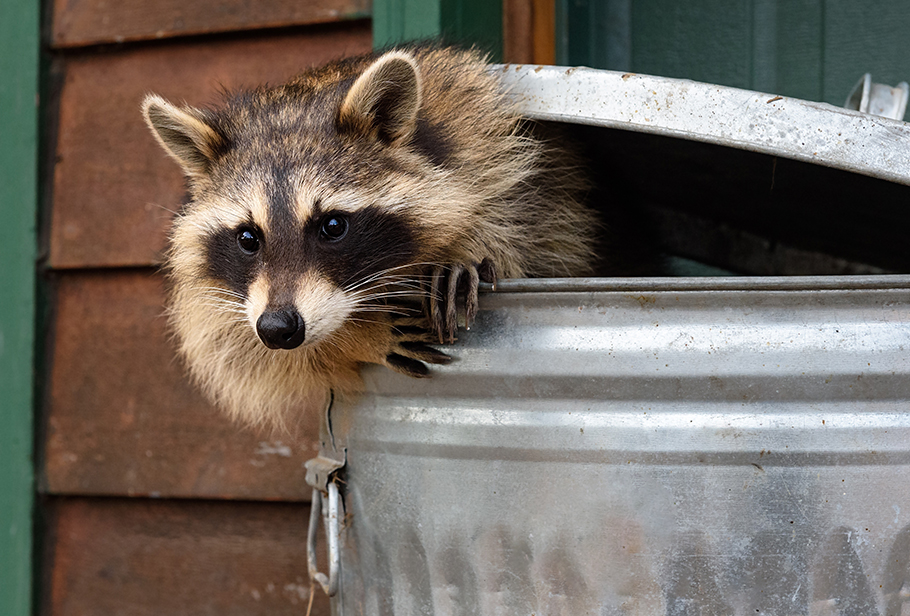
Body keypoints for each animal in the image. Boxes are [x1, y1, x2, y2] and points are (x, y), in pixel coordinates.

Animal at [142, 45, 600, 429]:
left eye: (332, 226)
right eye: (248, 238)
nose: (277, 328)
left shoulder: (494, 150)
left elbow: (527, 228)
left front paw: (466, 246)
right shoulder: (223, 299)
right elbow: (237, 348)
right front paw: (356, 338)